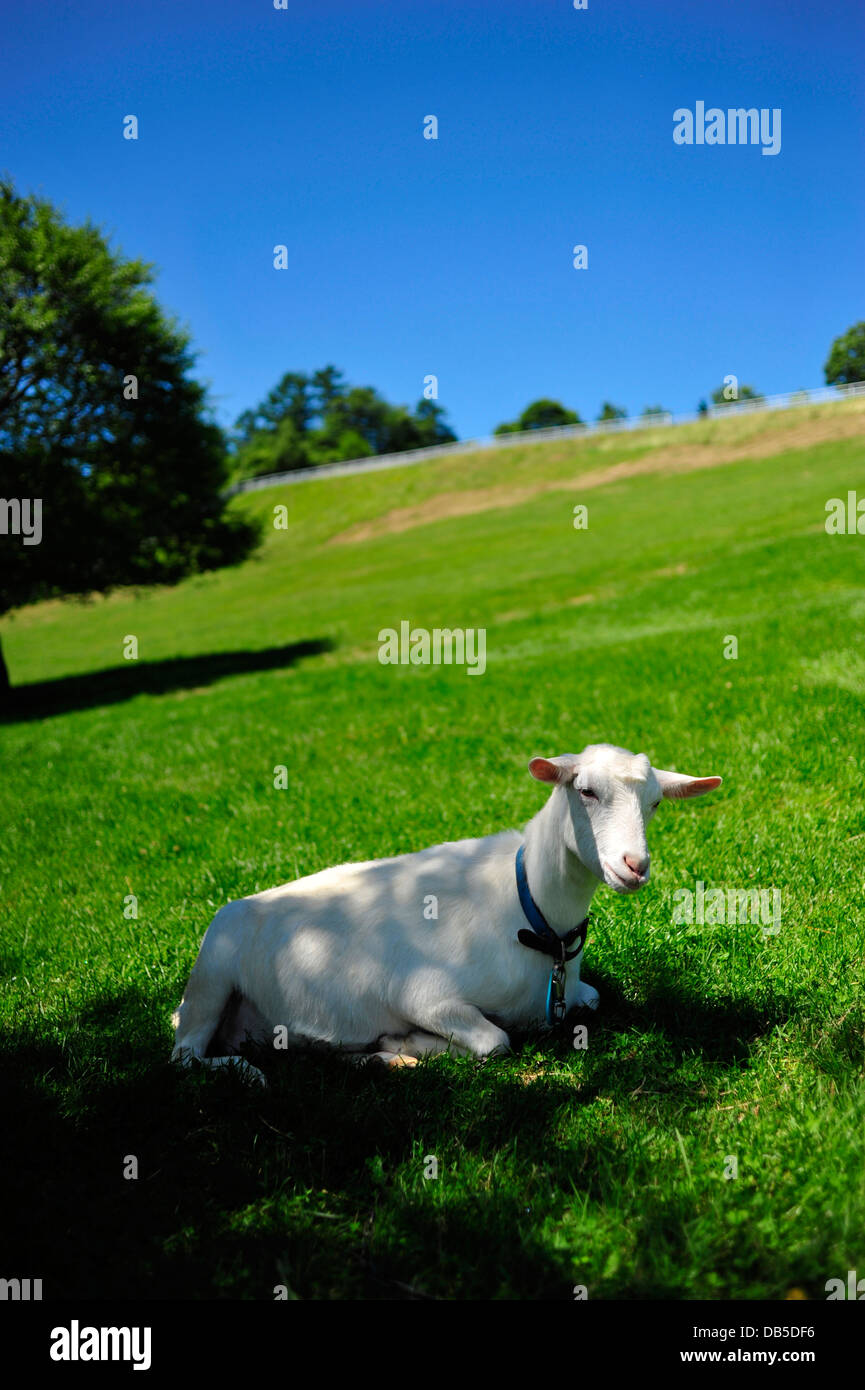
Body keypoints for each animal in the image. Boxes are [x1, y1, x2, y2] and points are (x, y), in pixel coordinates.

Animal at [171, 744, 721, 1082]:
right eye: (585, 790)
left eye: (655, 803)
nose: (635, 865)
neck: (532, 912)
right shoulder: (423, 992)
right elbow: (495, 1040)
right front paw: (413, 1040)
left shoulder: (574, 990)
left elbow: (593, 998)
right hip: (211, 972)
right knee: (185, 1056)